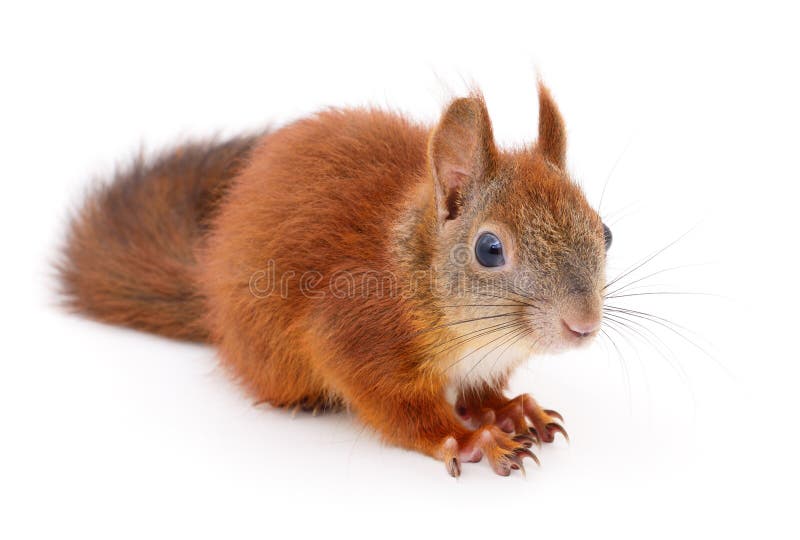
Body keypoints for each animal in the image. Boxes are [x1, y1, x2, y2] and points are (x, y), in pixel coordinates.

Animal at [58, 81, 611, 477]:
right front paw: (471, 438)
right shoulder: (356, 333)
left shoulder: (485, 362)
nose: (583, 326)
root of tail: (209, 284)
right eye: (489, 249)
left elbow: (481, 393)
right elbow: (398, 407)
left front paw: (509, 410)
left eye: (605, 232)